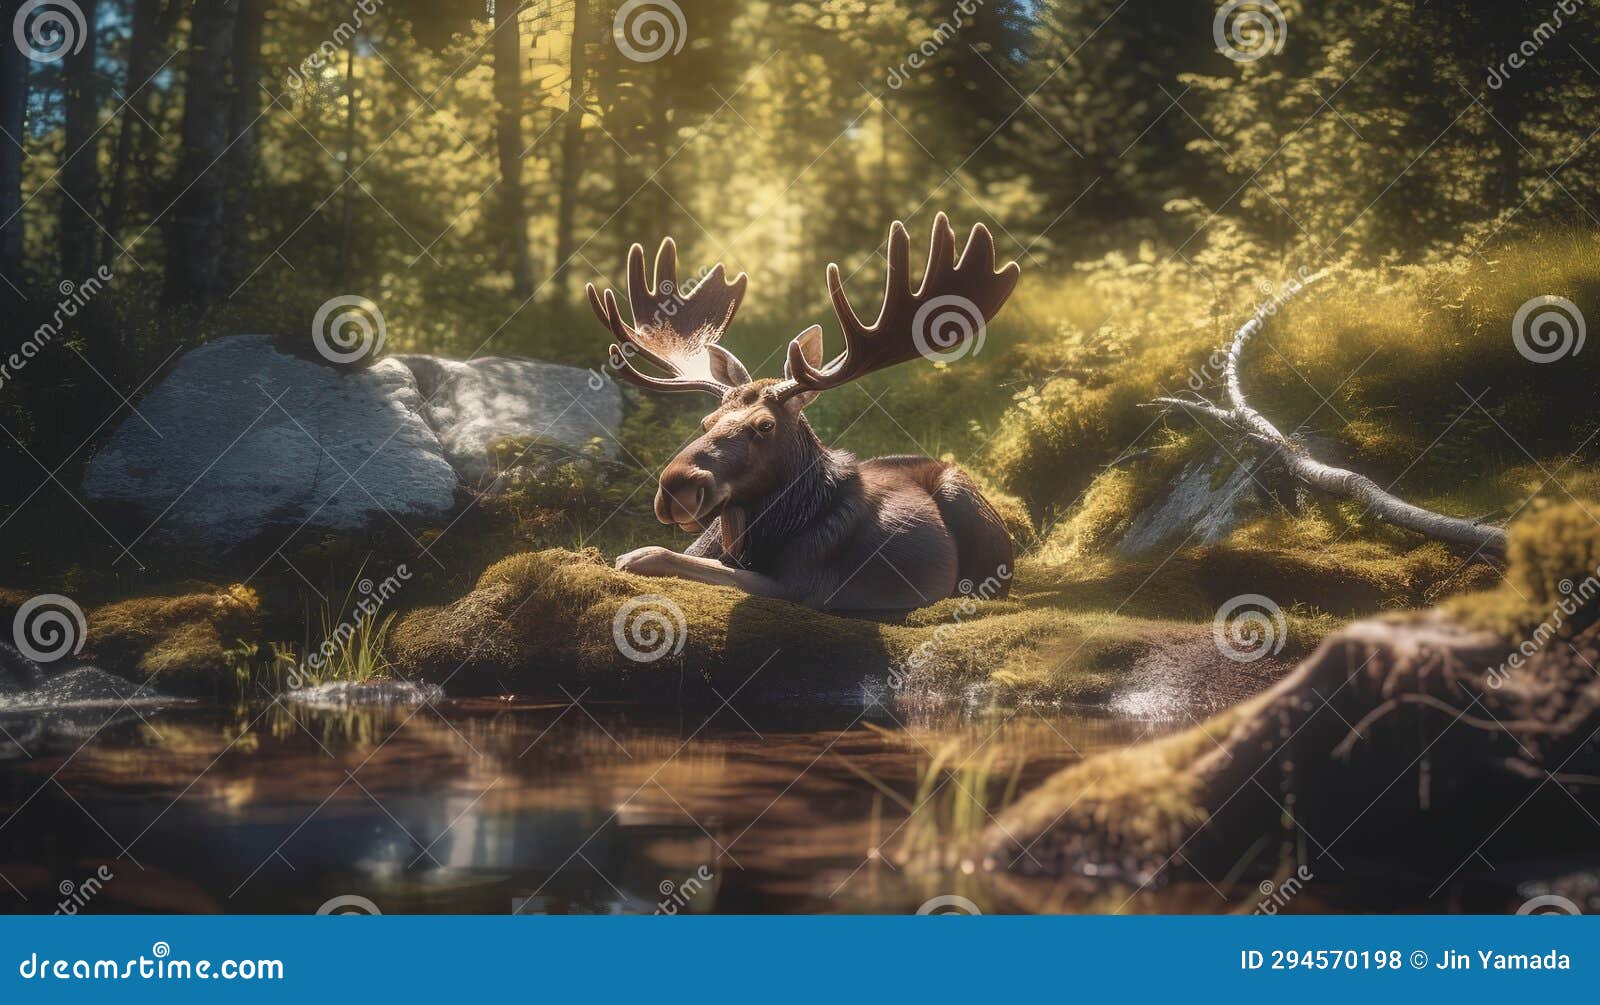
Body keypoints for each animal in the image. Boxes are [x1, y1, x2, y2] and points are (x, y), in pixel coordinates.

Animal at [587, 213, 1021, 614]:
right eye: (706, 421)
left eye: (765, 425)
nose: (676, 487)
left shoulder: (806, 585)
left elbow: (670, 558)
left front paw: (634, 555)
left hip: (964, 501)